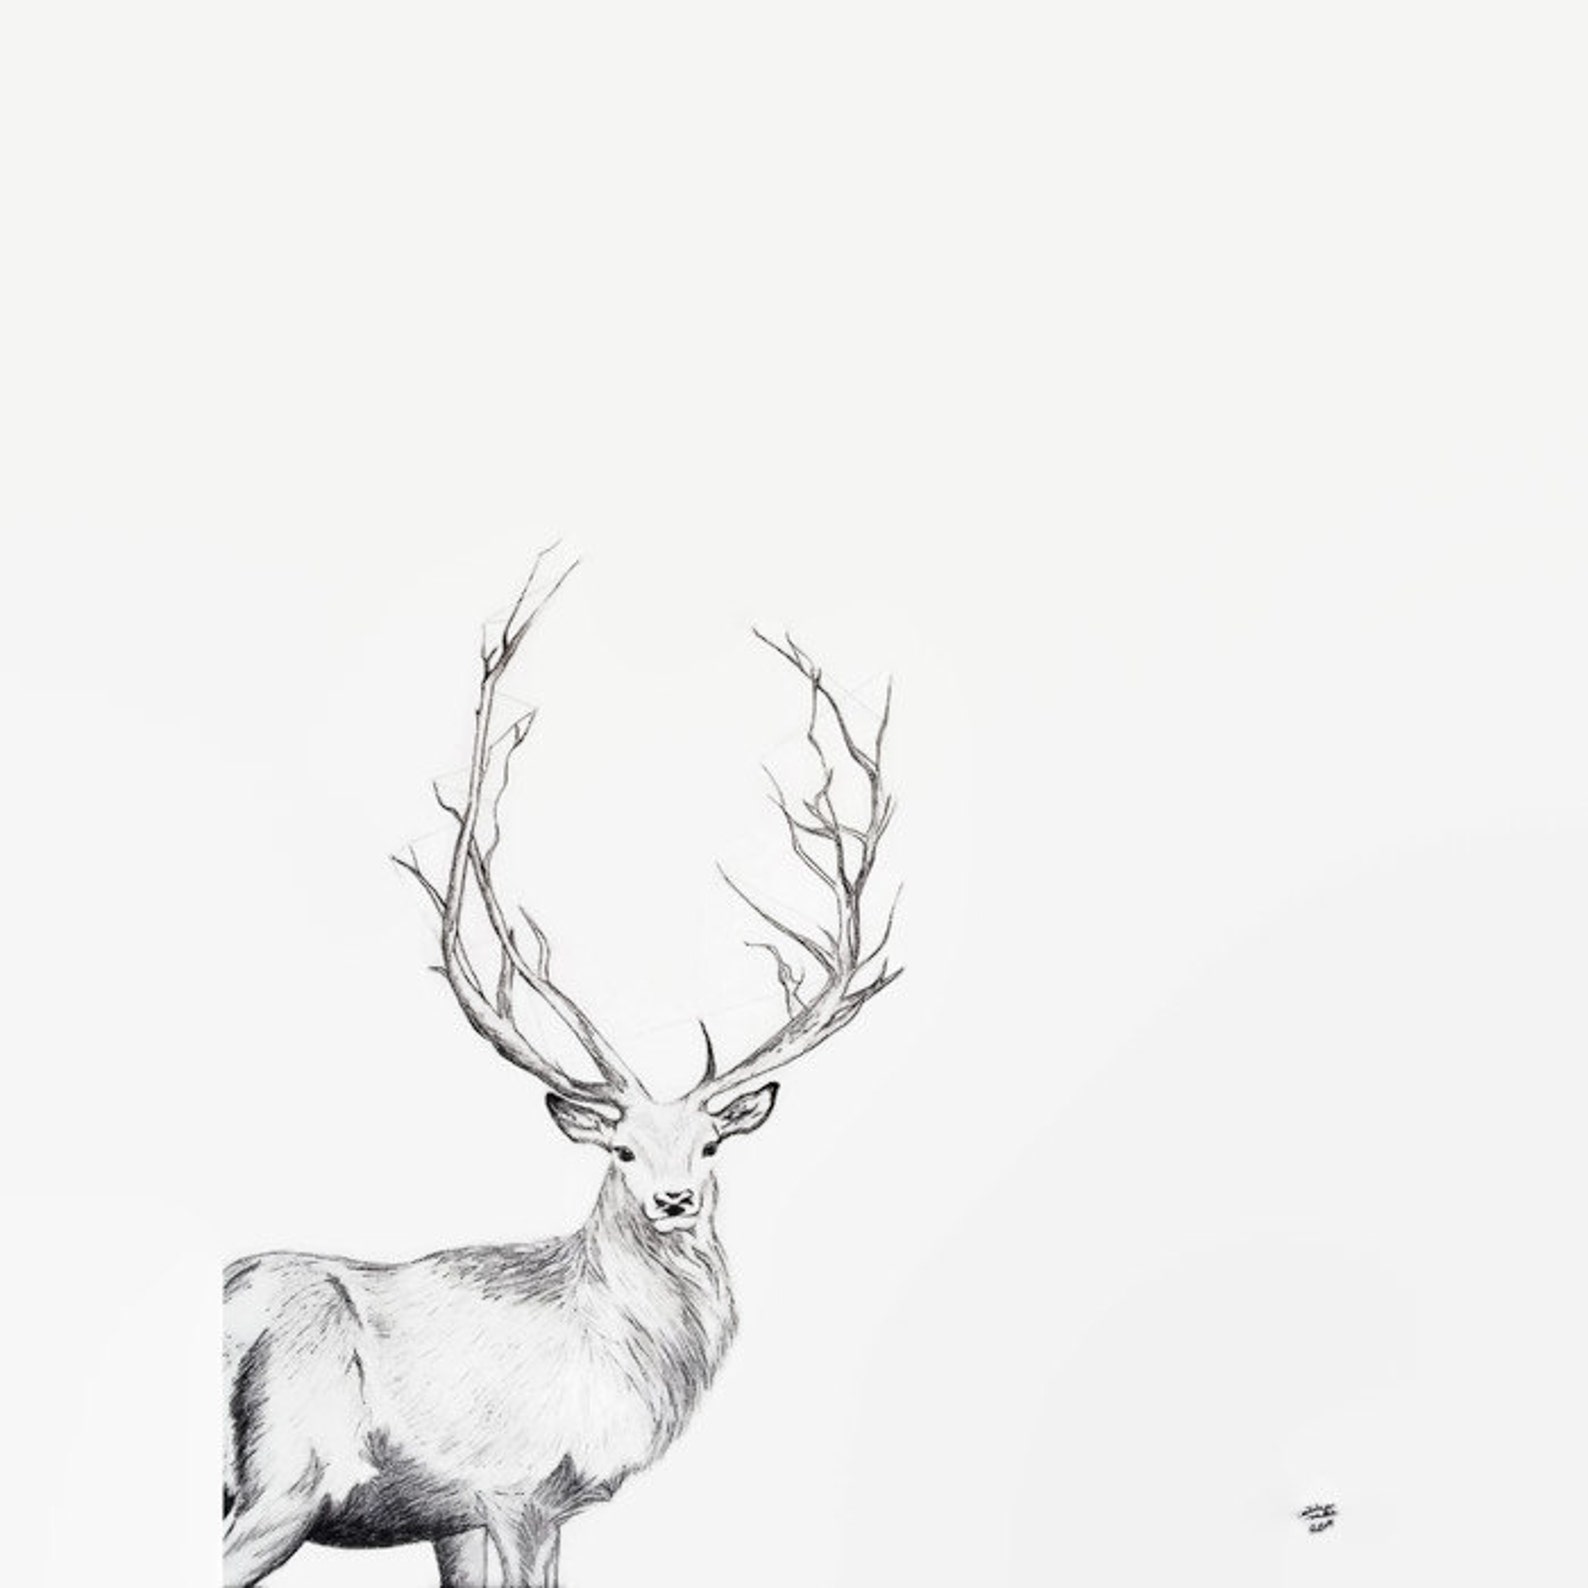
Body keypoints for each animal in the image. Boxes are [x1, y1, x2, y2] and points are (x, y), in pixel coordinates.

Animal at [222, 553, 902, 1587]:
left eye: (710, 1144)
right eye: (620, 1150)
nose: (674, 1200)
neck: (612, 1363)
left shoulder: (453, 1517)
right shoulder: (522, 1488)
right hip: (283, 1476)